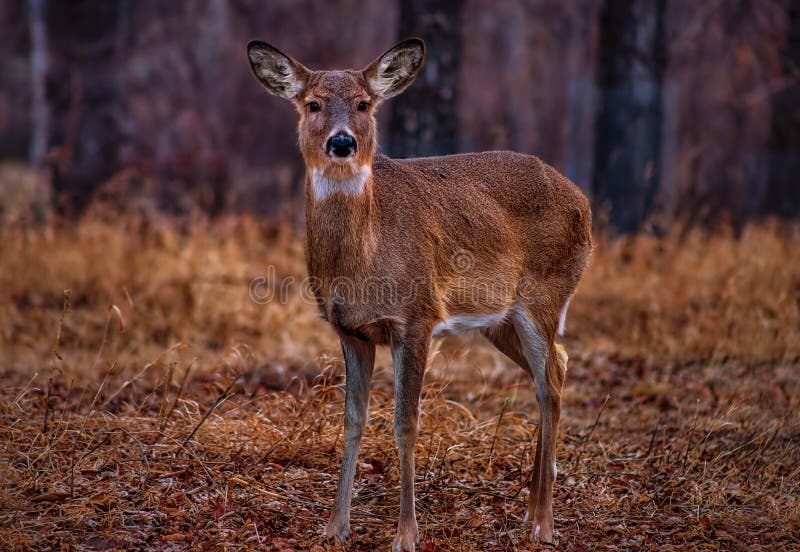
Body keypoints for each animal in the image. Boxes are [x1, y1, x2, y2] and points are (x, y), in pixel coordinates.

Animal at [247, 37, 592, 551]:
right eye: (312, 104)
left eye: (363, 104)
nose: (342, 143)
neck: (365, 261)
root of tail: (583, 200)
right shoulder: (350, 331)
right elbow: (353, 419)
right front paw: (335, 527)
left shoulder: (416, 318)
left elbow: (405, 423)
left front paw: (406, 534)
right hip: (499, 318)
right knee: (558, 365)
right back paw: (532, 505)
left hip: (544, 296)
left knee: (549, 380)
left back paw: (543, 523)